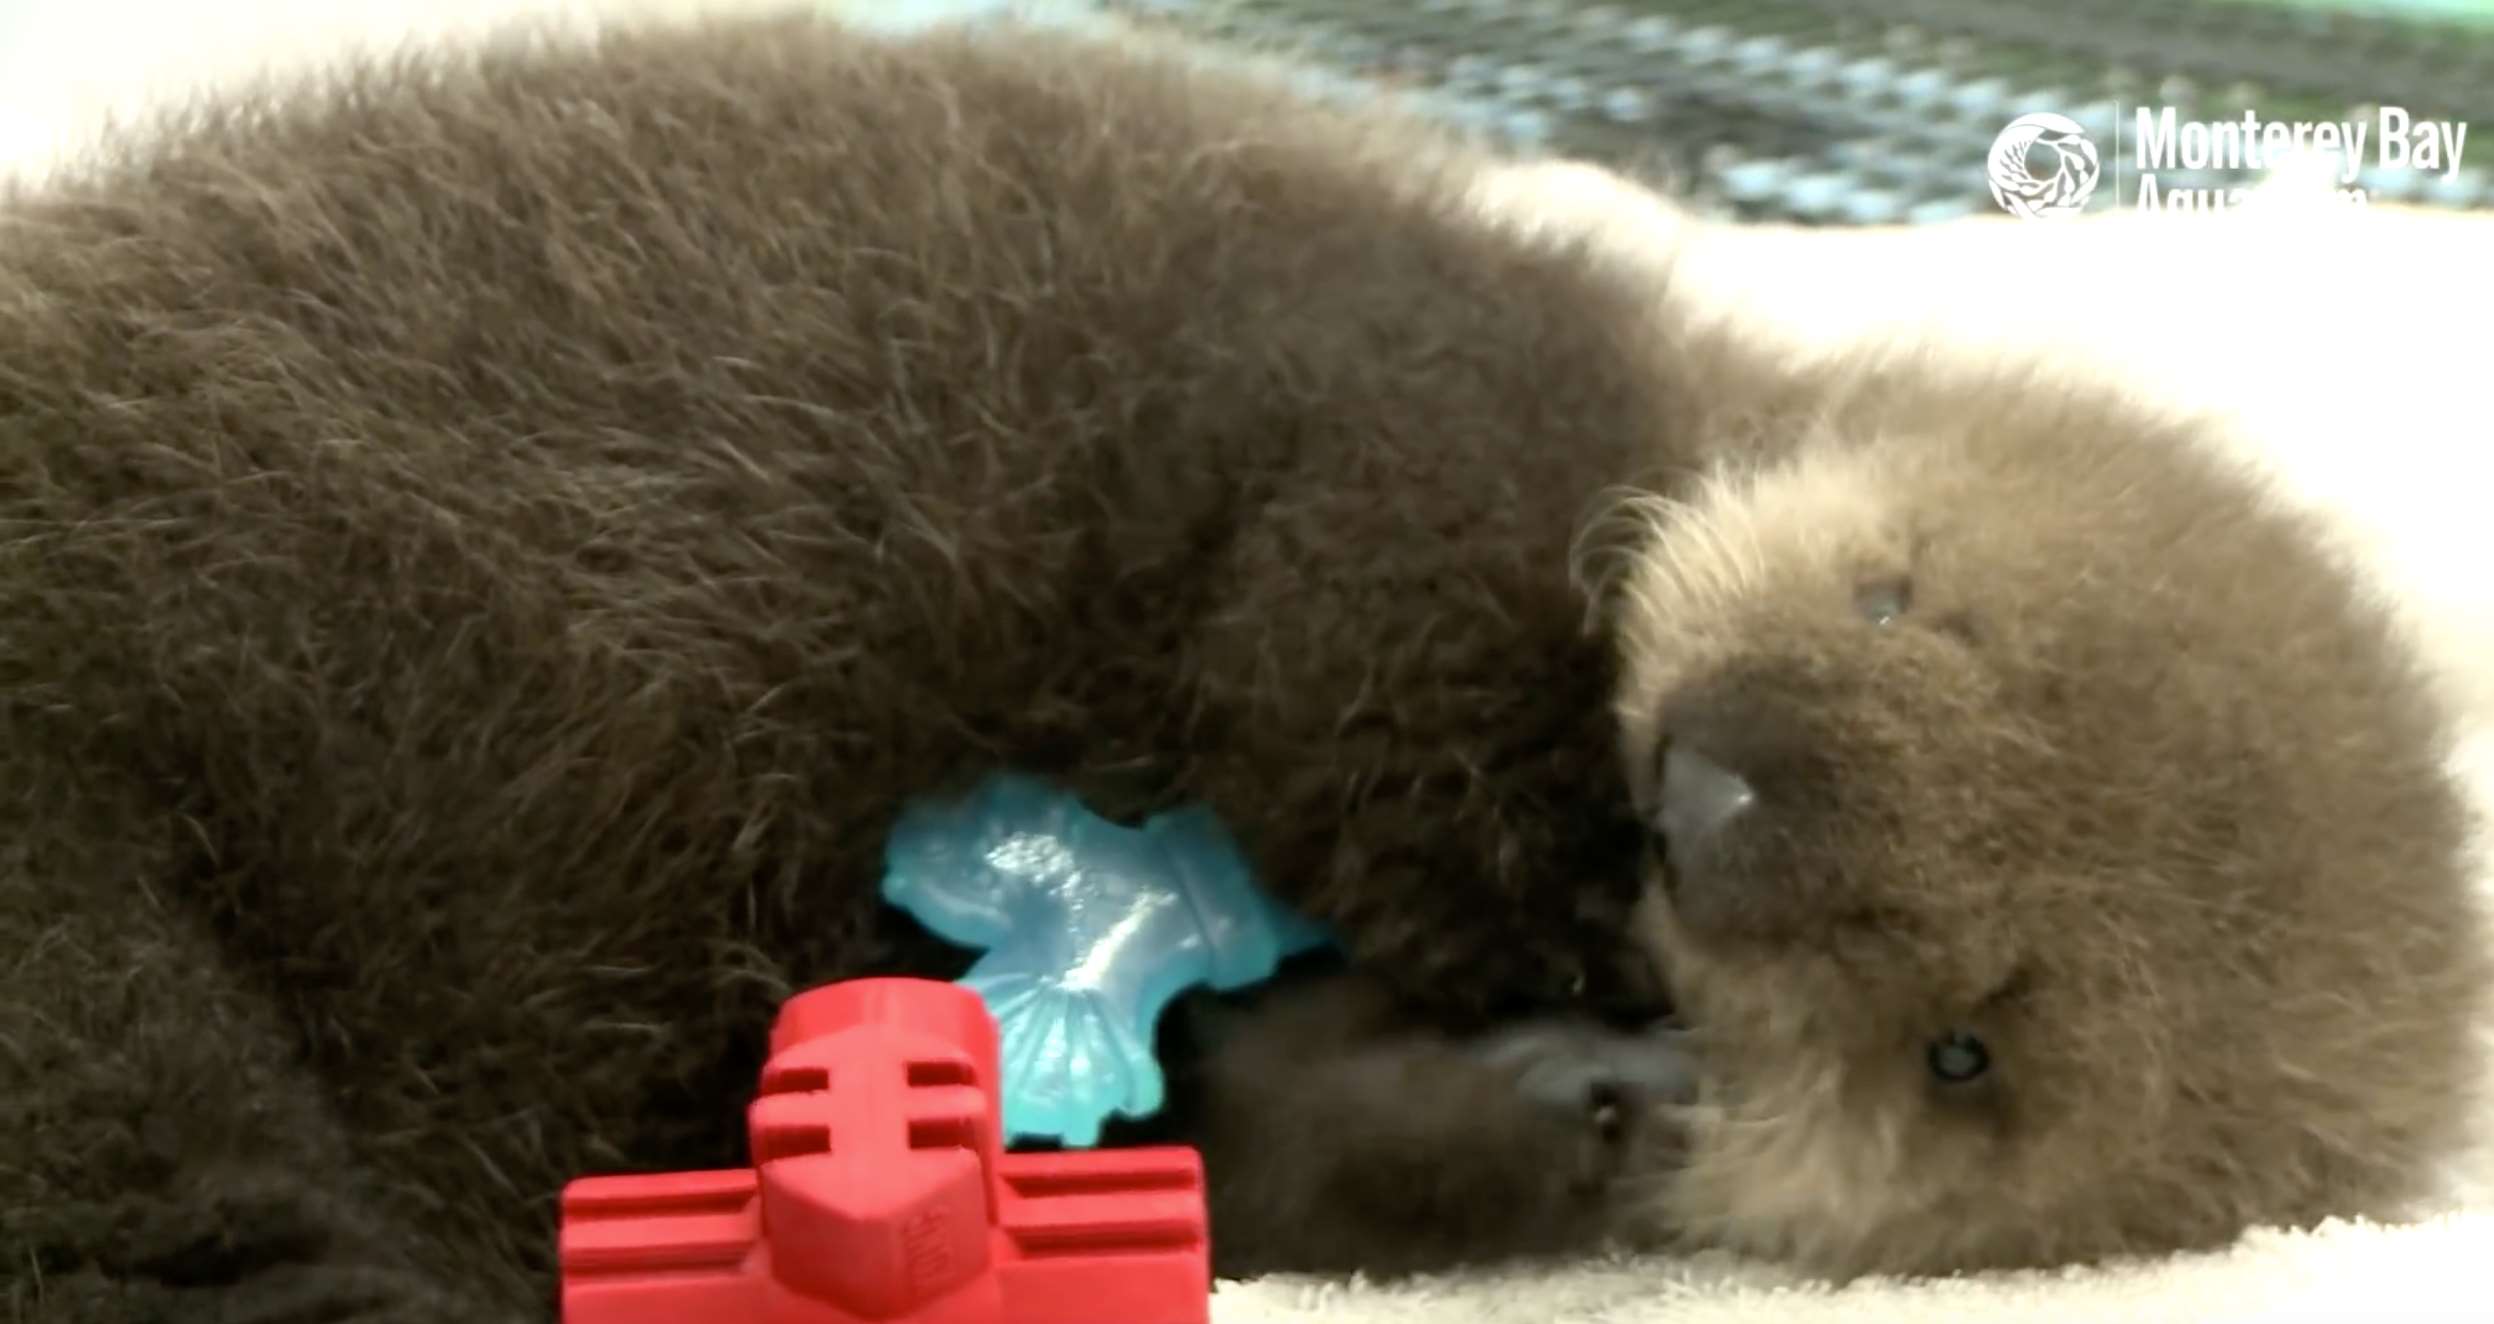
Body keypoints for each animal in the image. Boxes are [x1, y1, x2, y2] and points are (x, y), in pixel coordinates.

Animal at [0, 12, 2482, 1321]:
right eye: (1897, 598)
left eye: (1964, 1045)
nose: (1711, 789)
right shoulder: (1435, 367)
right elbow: (1372, 539)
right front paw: (1532, 901)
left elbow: (1230, 1136)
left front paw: (1582, 1097)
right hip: (78, 923)